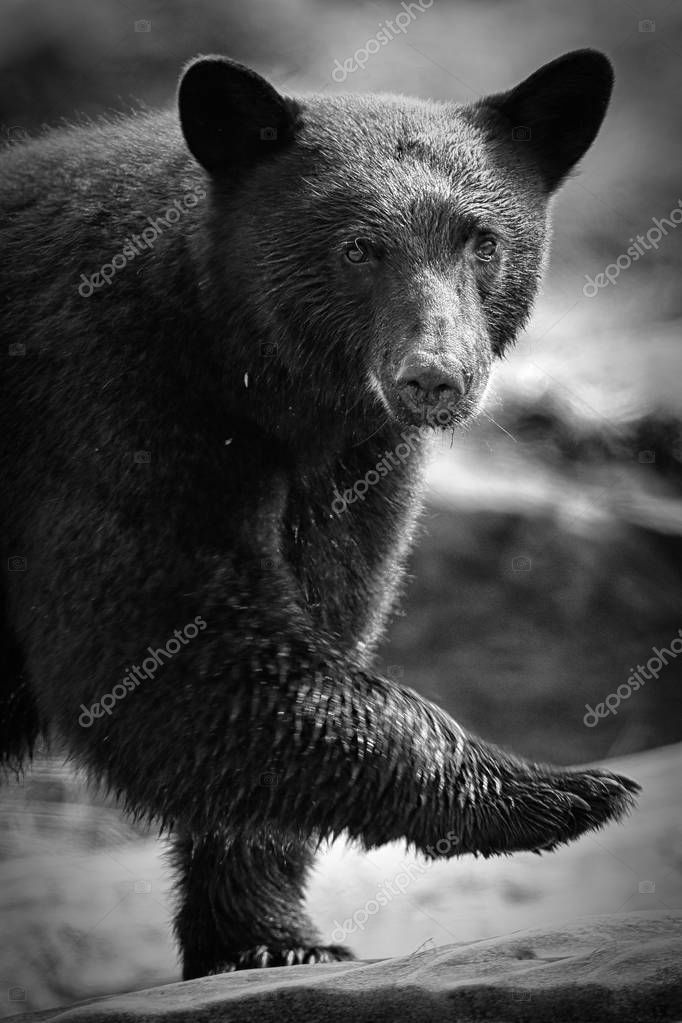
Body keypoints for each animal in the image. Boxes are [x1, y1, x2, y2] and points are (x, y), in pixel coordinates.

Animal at [0, 48, 639, 978]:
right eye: (359, 247)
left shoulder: (354, 465)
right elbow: (161, 643)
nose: (434, 376)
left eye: (483, 241)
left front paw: (268, 939)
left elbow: (320, 615)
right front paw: (565, 790)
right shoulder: (105, 397)